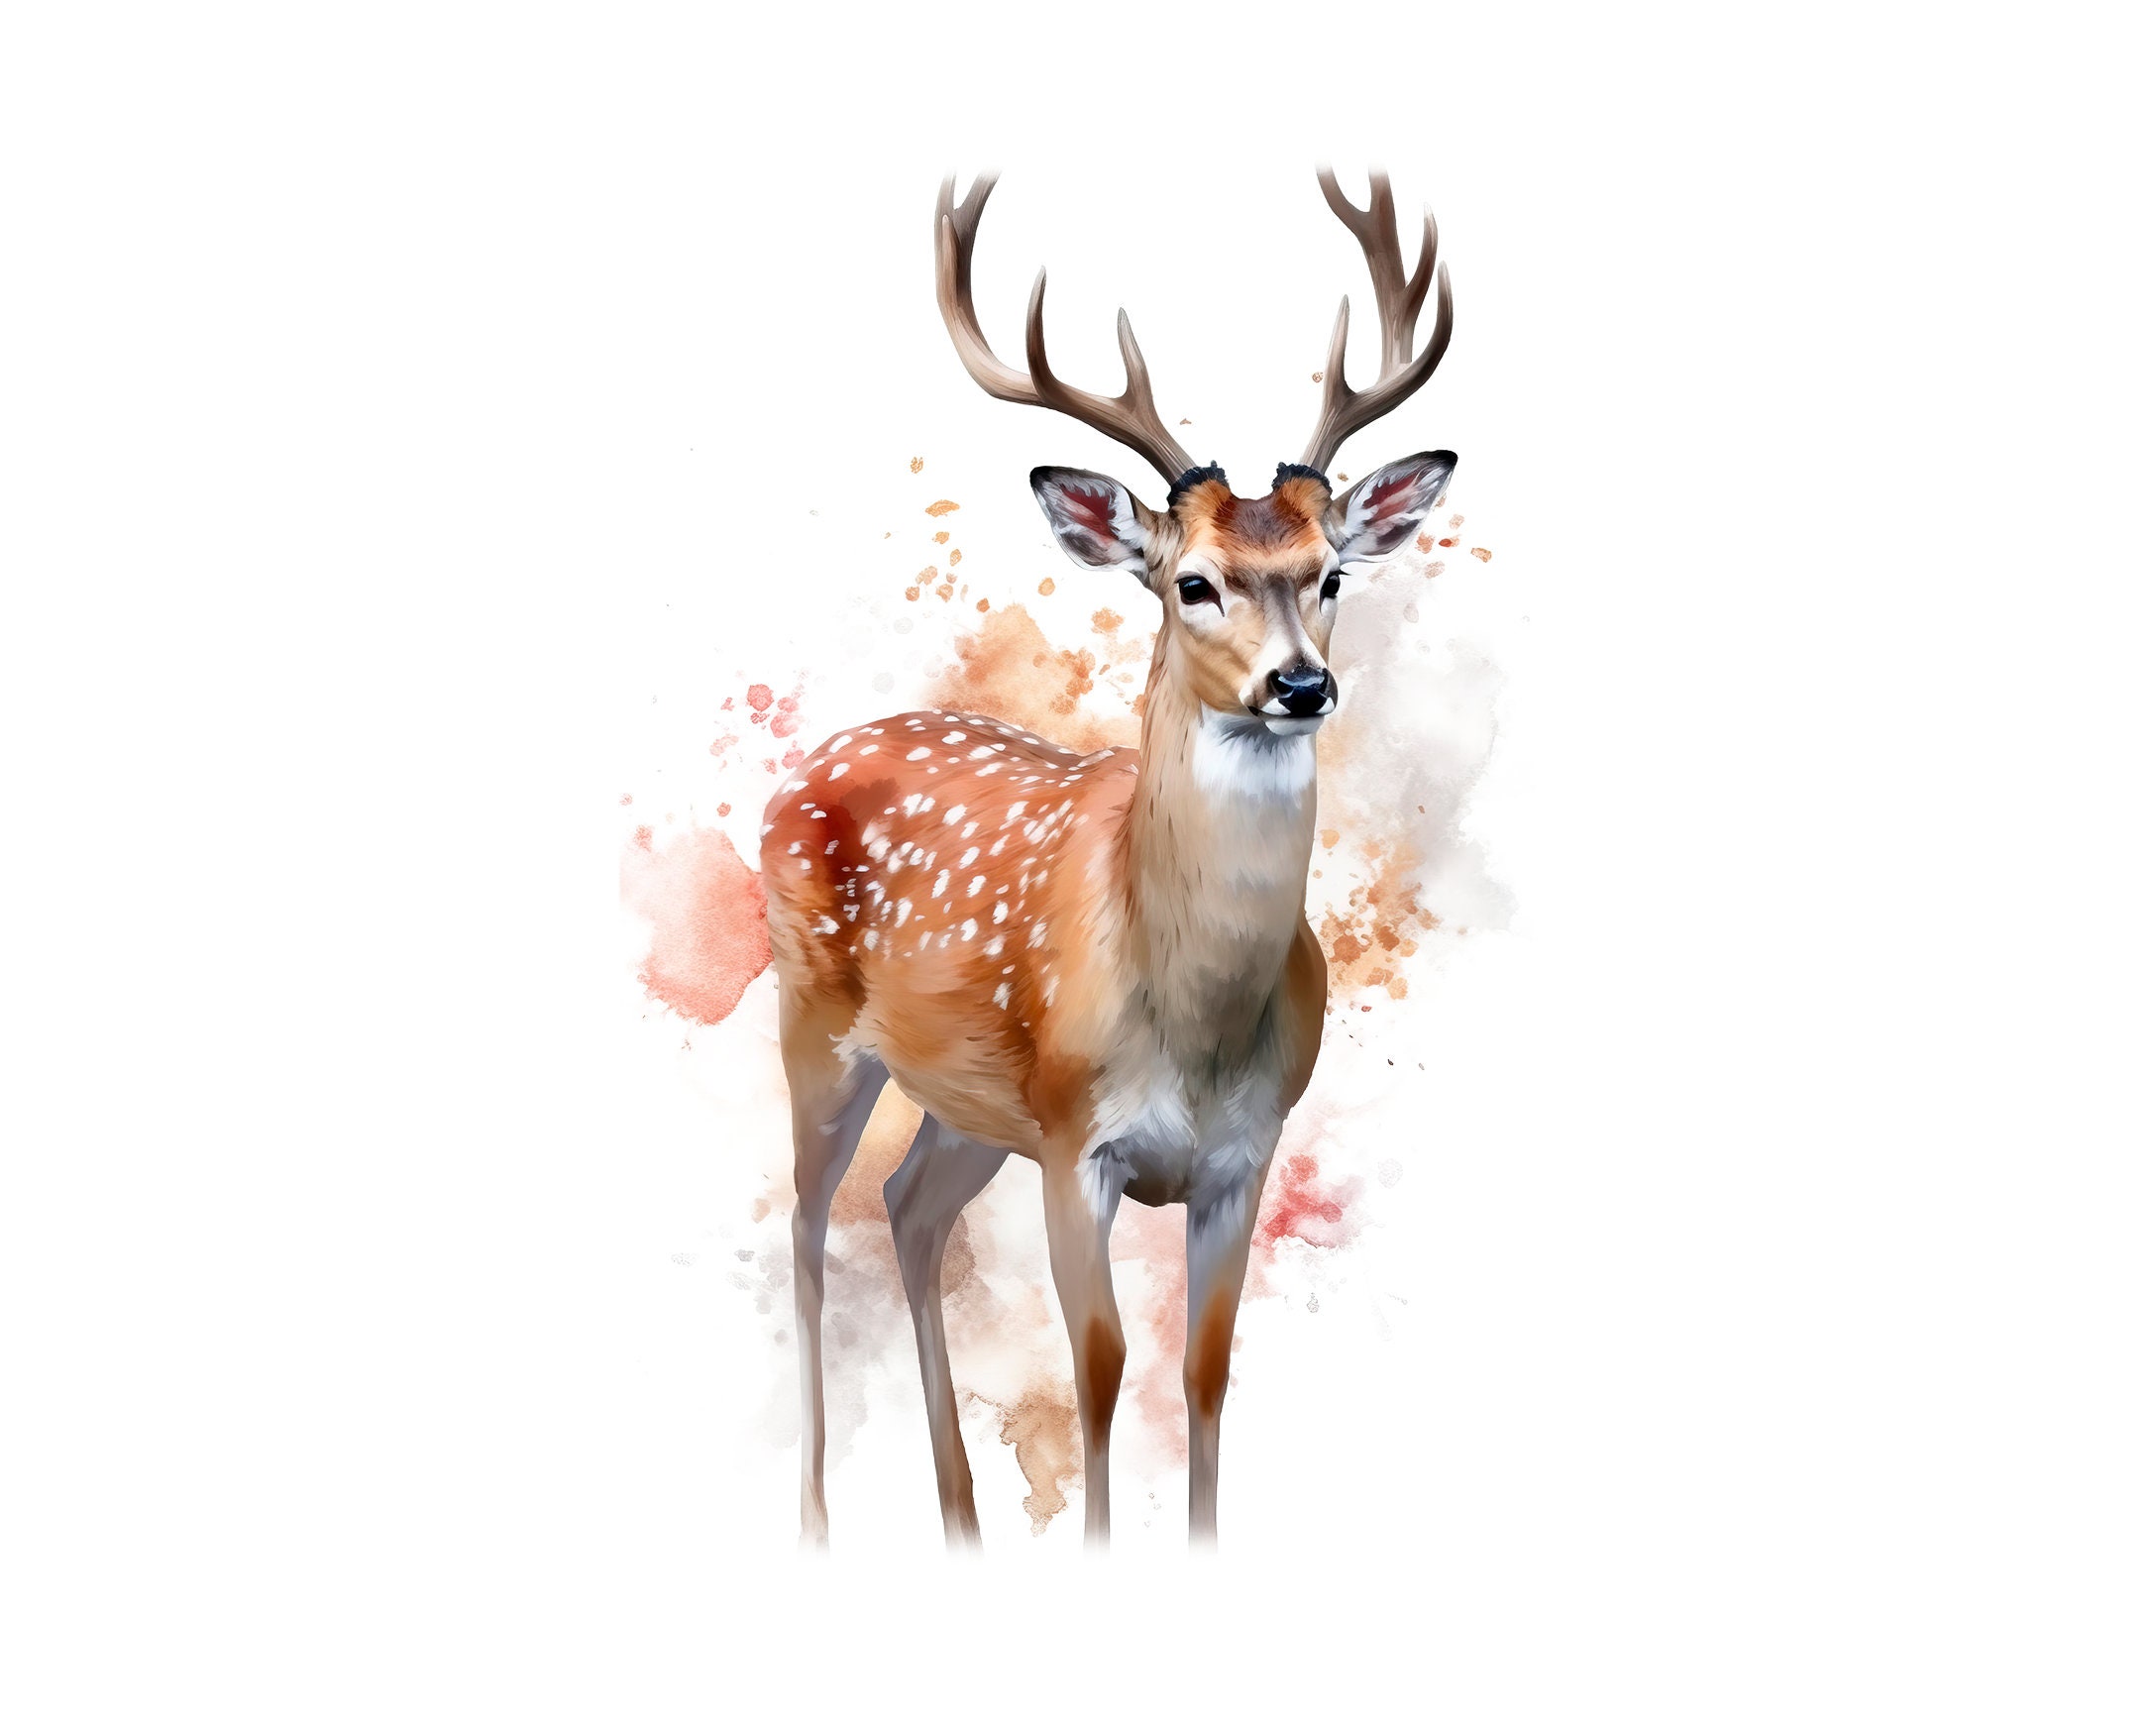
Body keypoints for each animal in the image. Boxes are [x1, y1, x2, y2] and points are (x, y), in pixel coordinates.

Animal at [761, 167, 1457, 1549]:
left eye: (1329, 574)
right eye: (1191, 581)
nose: (1302, 684)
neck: (1193, 1021)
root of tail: (803, 766)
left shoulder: (1245, 1150)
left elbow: (1203, 1368)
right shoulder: (1077, 1135)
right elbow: (1096, 1365)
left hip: (971, 1103)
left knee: (906, 1210)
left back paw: (960, 1517)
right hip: (815, 1019)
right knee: (806, 1231)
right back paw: (815, 1516)